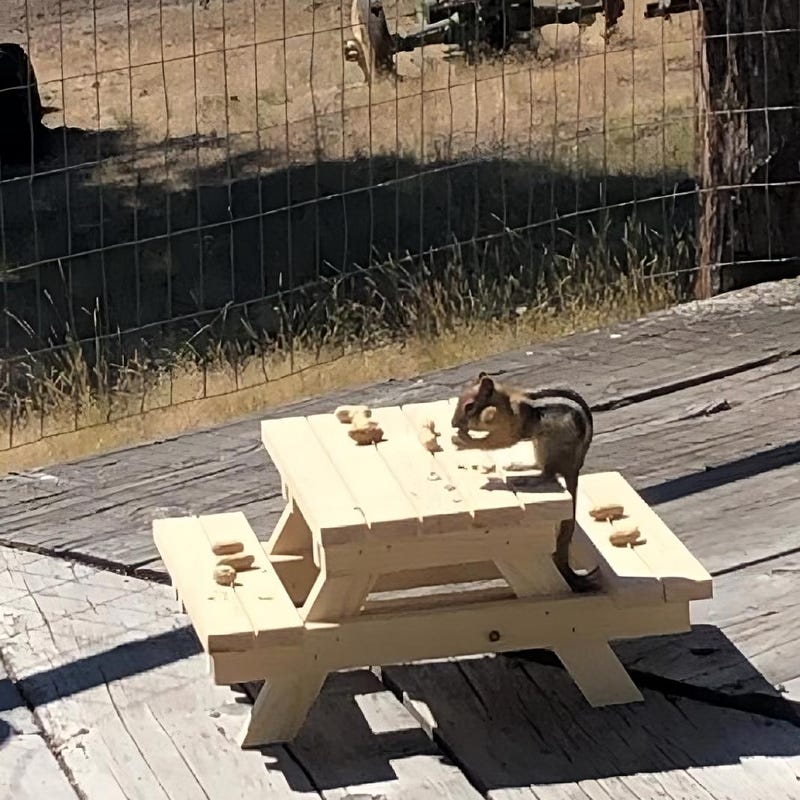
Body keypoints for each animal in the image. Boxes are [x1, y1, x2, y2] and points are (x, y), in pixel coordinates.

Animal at [450, 372, 600, 593]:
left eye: (469, 406)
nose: (453, 424)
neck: (503, 403)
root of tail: (575, 468)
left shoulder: (512, 427)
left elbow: (498, 441)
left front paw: (463, 441)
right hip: (539, 445)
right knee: (539, 466)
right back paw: (519, 466)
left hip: (550, 447)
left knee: (548, 475)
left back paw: (527, 479)